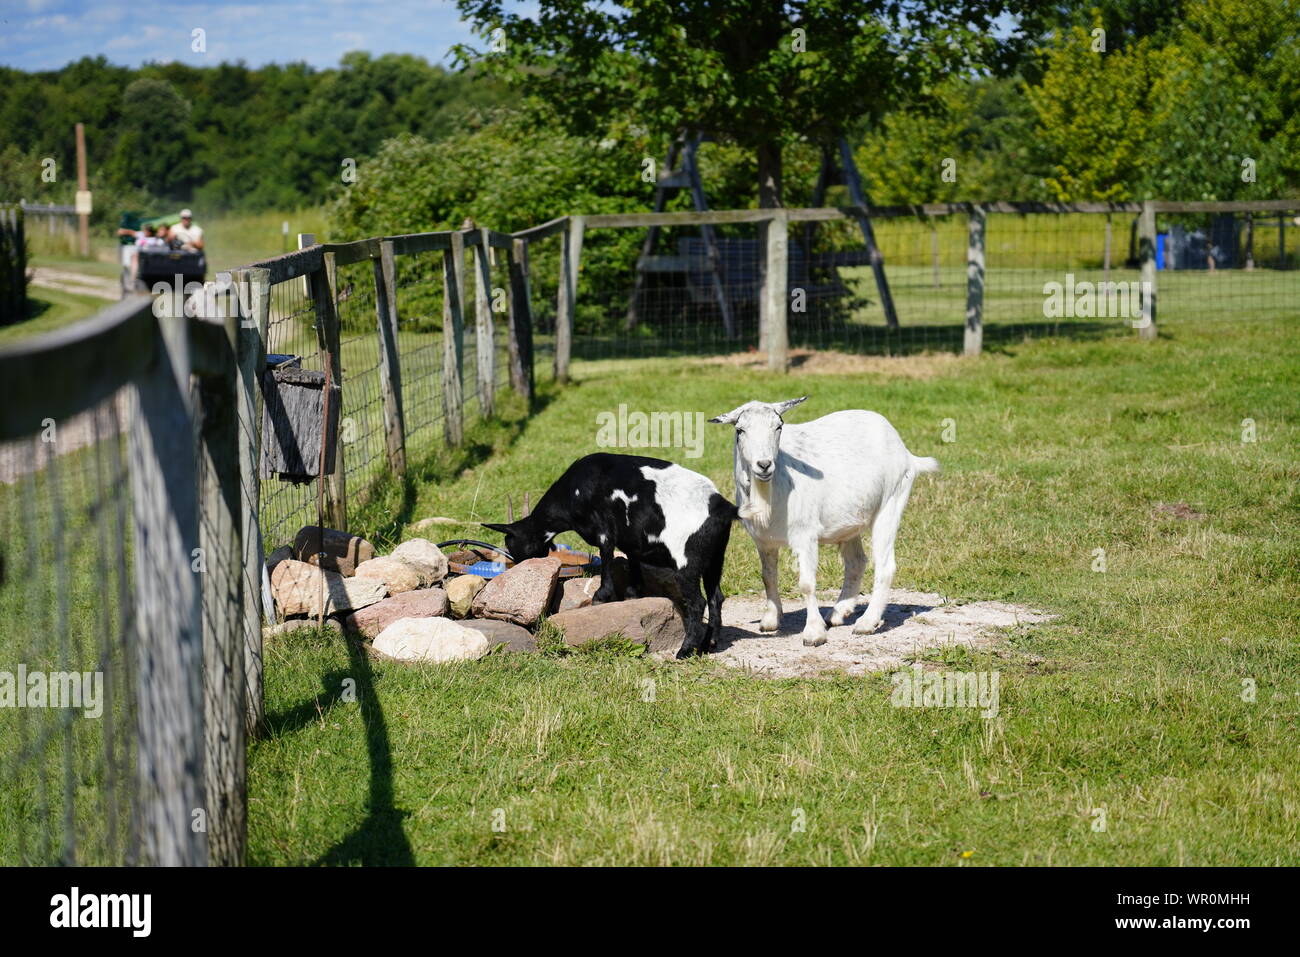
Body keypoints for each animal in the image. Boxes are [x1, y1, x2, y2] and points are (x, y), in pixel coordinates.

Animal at [482, 453, 738, 658]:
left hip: (687, 561)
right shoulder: (632, 541)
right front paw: (633, 595)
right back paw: (708, 644)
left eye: (512, 543)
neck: (575, 490)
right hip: (716, 557)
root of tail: (722, 507)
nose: (520, 566)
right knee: (716, 597)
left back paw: (685, 651)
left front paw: (600, 596)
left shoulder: (604, 531)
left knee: (697, 602)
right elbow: (633, 563)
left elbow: (606, 557)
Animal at [708, 396, 938, 646]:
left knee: (885, 565)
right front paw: (770, 620)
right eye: (739, 431)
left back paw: (866, 623)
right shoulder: (763, 540)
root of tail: (905, 452)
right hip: (850, 521)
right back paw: (838, 613)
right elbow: (768, 576)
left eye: (778, 427)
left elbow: (806, 583)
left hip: (891, 500)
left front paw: (814, 633)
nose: (764, 464)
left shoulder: (805, 534)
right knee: (857, 562)